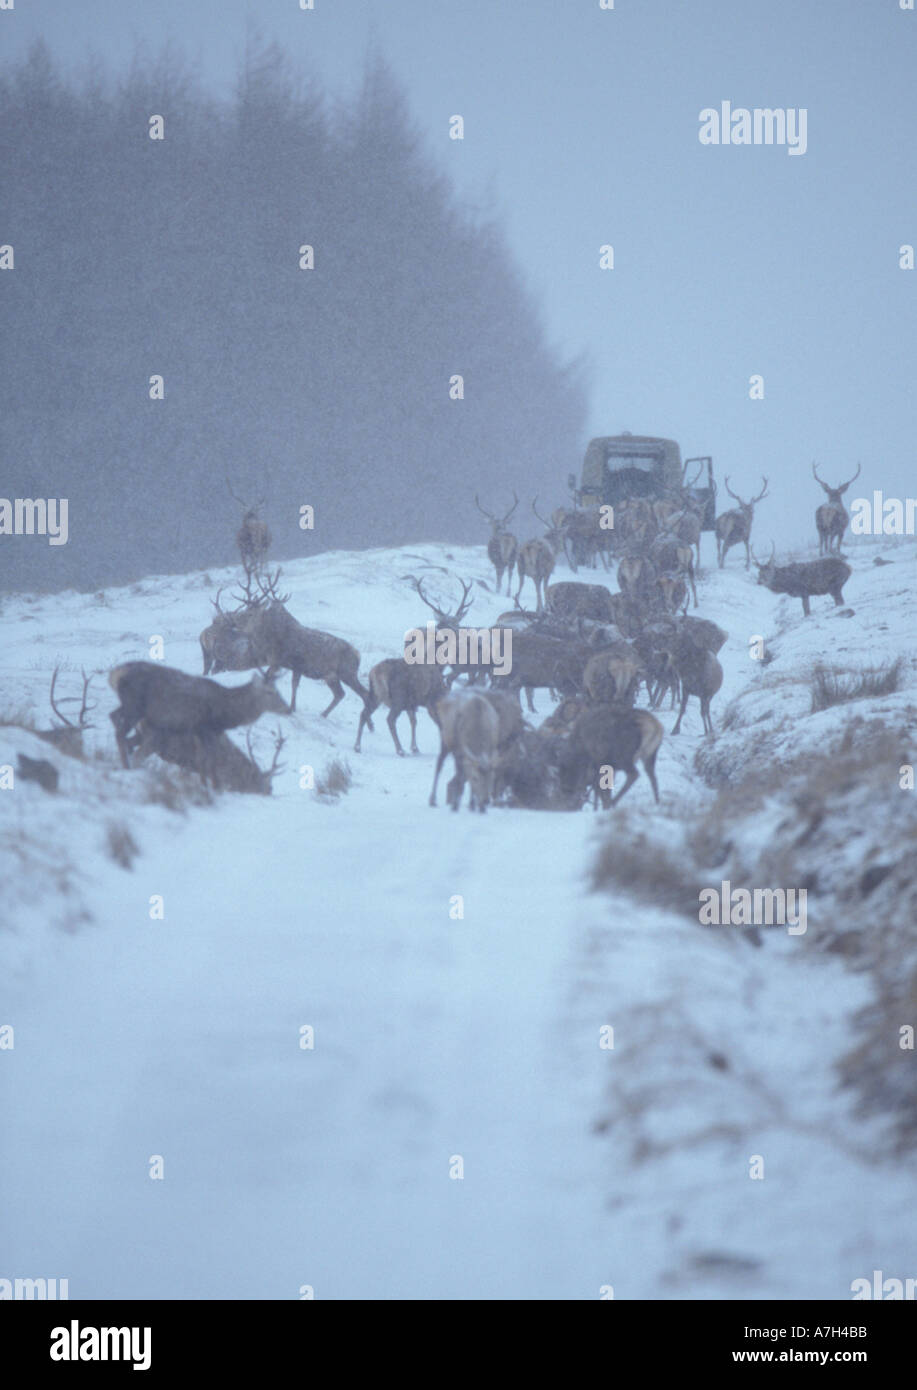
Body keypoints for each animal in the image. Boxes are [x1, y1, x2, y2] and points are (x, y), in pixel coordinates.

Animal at [108, 661, 288, 770]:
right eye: (270, 692)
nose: (287, 708)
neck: (225, 714)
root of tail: (114, 674)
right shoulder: (204, 728)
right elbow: (209, 761)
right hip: (134, 706)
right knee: (120, 731)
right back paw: (126, 764)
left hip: (131, 707)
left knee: (113, 716)